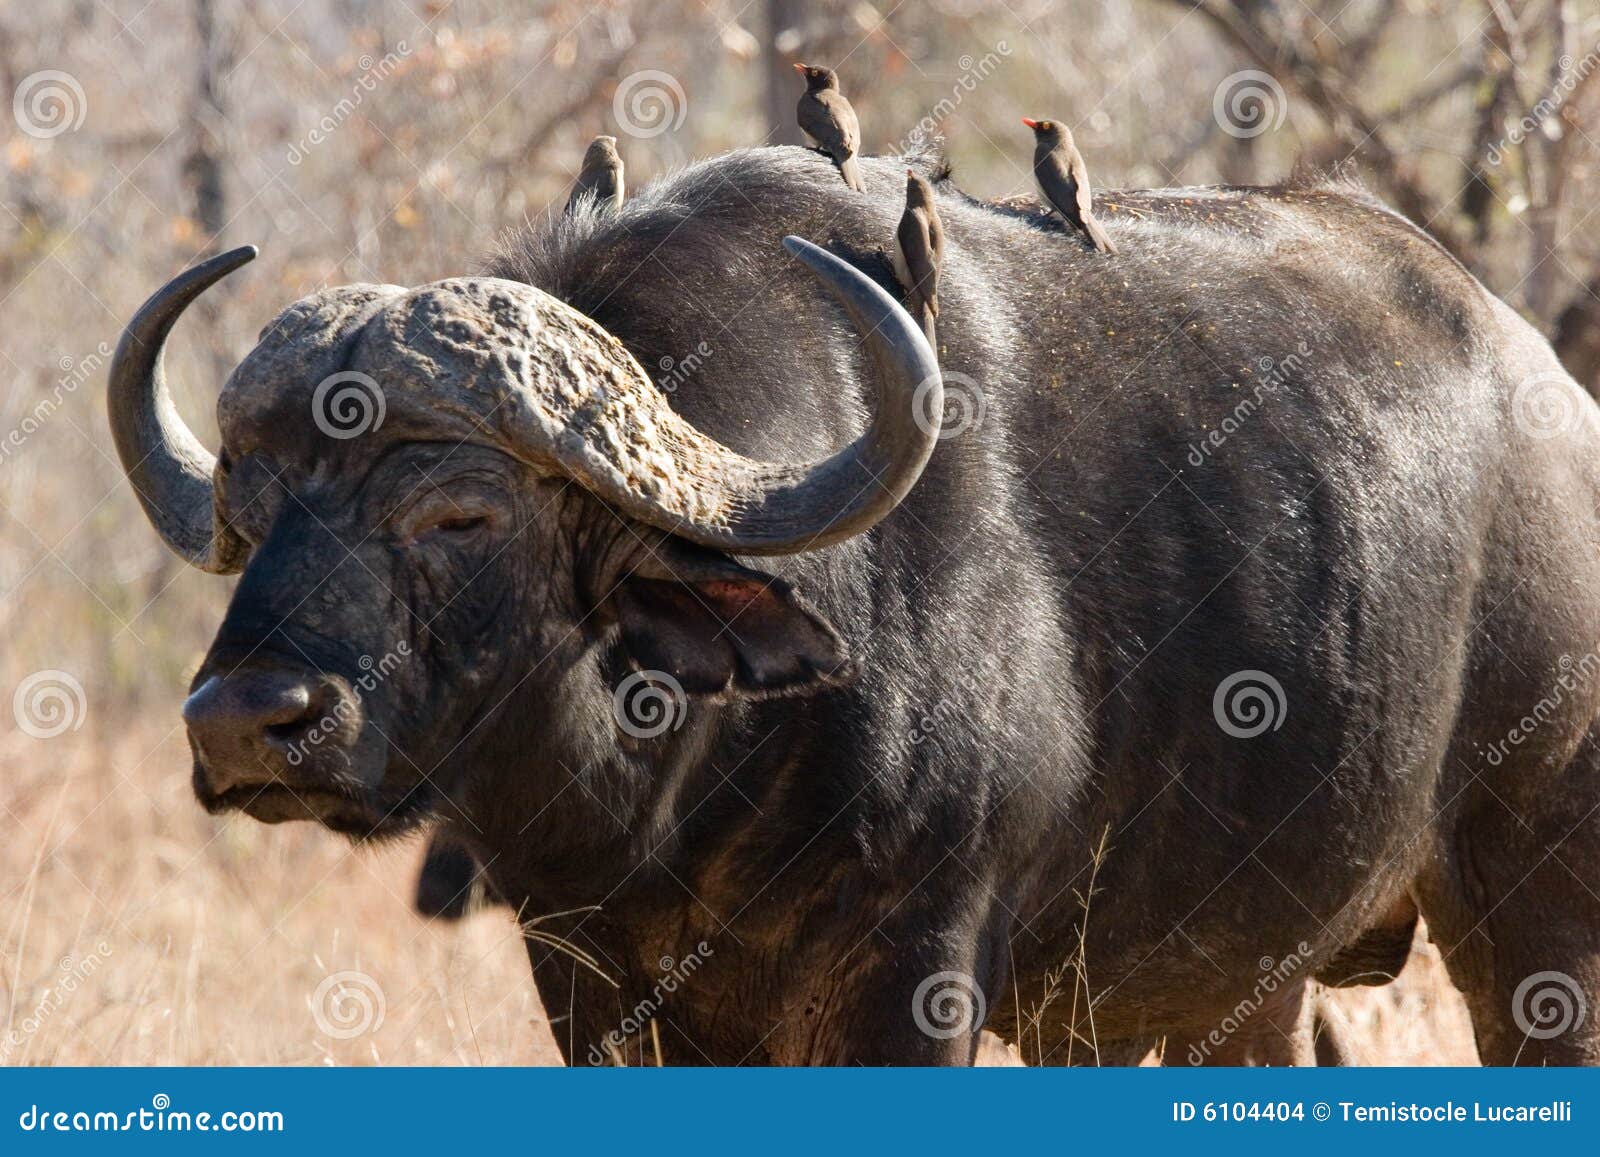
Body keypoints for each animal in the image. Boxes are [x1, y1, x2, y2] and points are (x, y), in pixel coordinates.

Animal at [110, 145, 1600, 1064]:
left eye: (462, 514)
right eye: (255, 507)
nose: (246, 721)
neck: (701, 792)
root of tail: (1551, 395)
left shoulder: (911, 968)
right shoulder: (587, 978)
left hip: (1535, 910)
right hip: (1227, 981)